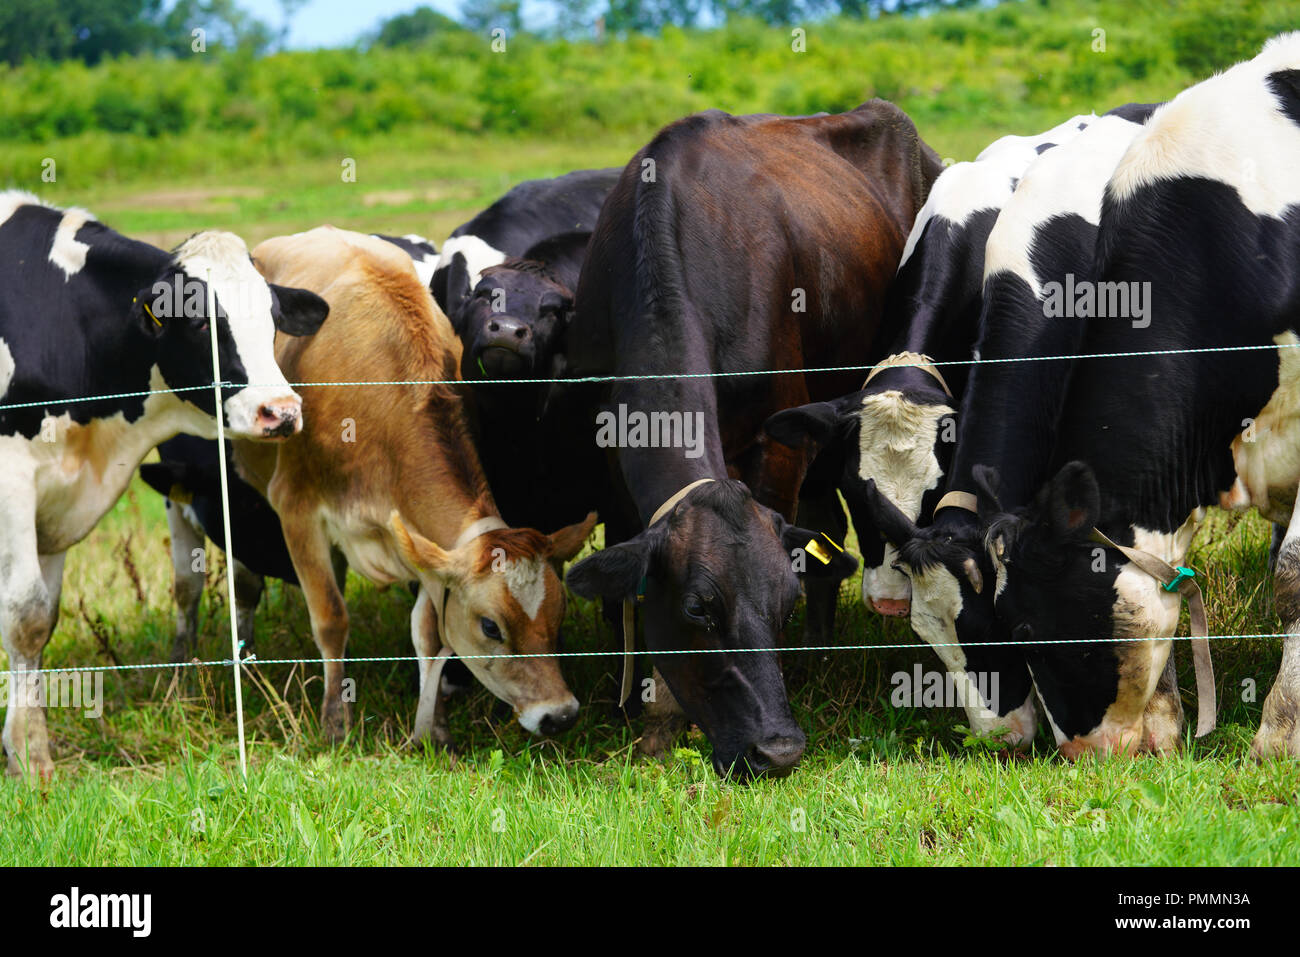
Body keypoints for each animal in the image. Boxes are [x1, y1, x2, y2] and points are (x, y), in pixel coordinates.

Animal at [0, 191, 329, 778]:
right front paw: (32, 763)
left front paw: (17, 750)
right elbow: (25, 616)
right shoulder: (14, 476)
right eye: (199, 323)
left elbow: (44, 617)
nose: (281, 412)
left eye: (271, 319)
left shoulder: (58, 503)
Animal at [235, 227, 596, 748]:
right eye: (491, 627)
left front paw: (435, 726)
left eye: (559, 614)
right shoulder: (297, 508)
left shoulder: (423, 541)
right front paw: (335, 722)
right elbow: (330, 617)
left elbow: (429, 634)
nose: (559, 715)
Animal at [562, 102, 941, 778]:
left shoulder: (780, 441)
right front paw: (645, 708)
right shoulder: (607, 453)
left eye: (781, 604)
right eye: (697, 608)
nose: (778, 748)